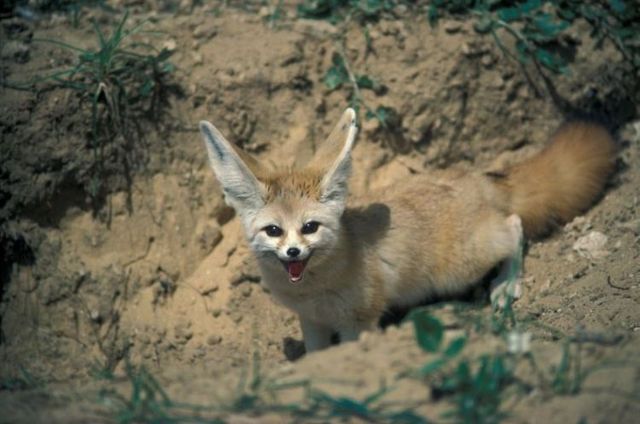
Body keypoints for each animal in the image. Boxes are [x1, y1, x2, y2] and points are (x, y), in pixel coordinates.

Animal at [198, 108, 616, 353]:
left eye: (309, 227)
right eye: (273, 231)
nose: (293, 253)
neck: (314, 290)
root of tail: (477, 178)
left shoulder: (359, 322)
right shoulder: (312, 321)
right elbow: (317, 355)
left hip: (461, 267)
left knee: (514, 227)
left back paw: (505, 284)